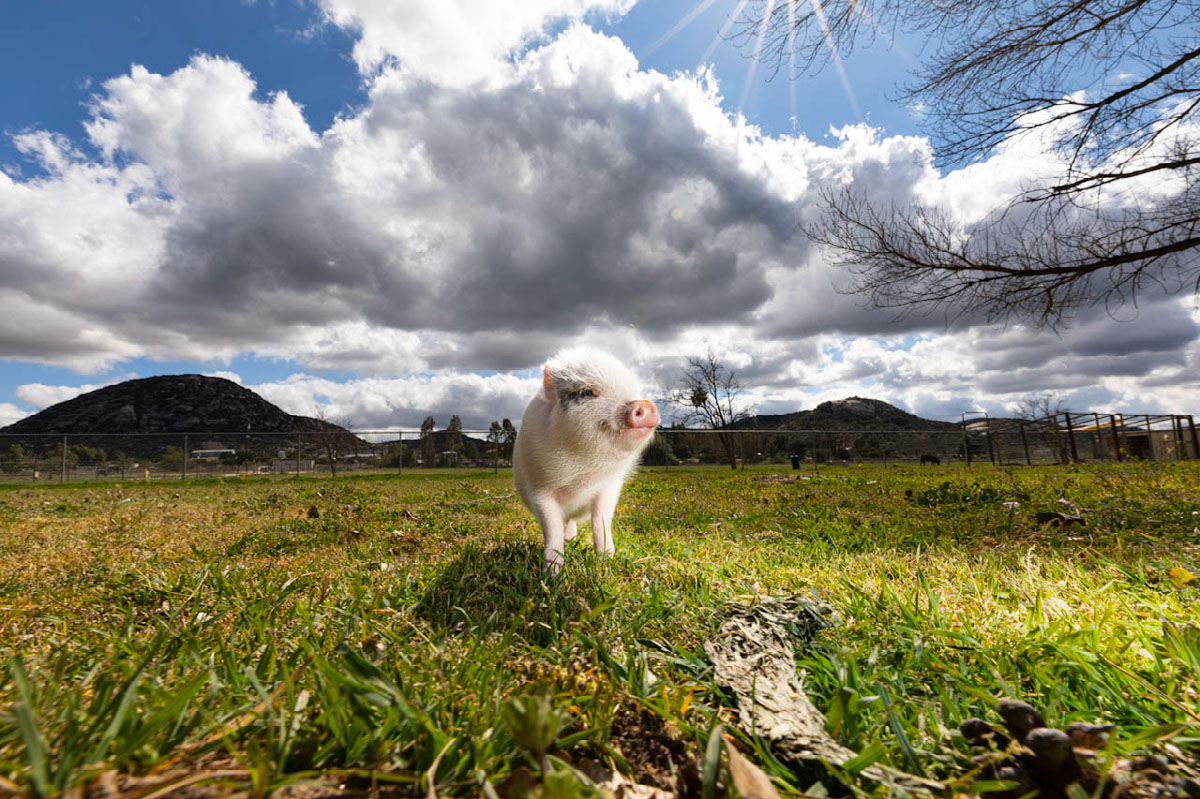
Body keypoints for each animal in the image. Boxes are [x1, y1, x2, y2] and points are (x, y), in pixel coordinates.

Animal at [513, 347, 660, 574]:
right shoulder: (538, 487)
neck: (580, 476)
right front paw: (551, 574)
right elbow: (552, 529)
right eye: (585, 393)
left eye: (634, 390)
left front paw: (606, 563)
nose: (644, 403)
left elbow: (601, 521)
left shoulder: (608, 487)